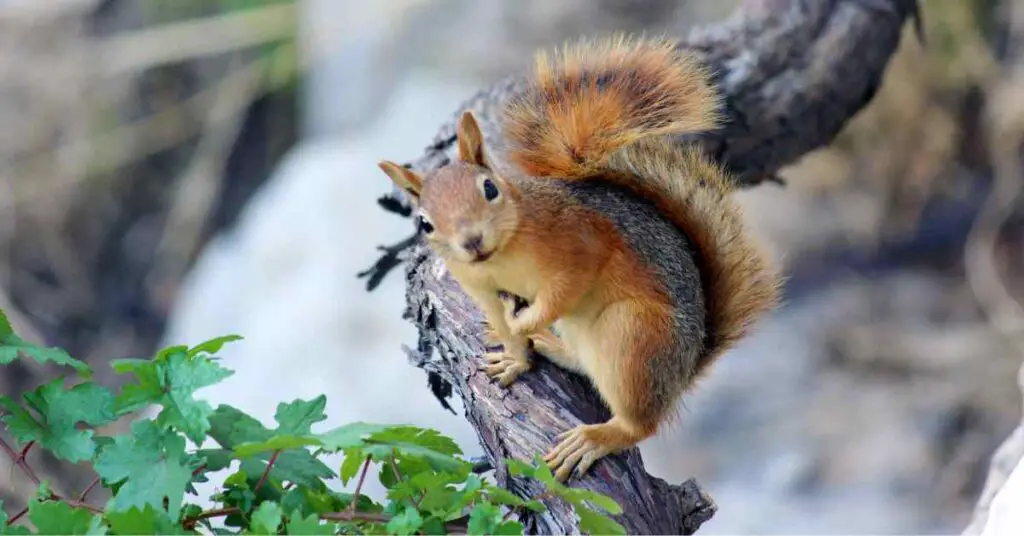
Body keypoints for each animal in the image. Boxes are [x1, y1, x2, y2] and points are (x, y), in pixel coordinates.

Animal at [378, 36, 781, 482]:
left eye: (490, 188)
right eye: (425, 223)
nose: (472, 242)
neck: (500, 256)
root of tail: (684, 367)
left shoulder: (578, 249)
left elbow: (559, 293)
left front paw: (523, 323)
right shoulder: (476, 285)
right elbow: (497, 315)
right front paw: (515, 354)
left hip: (632, 336)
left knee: (639, 424)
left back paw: (594, 436)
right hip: (589, 332)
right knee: (584, 364)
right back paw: (549, 345)